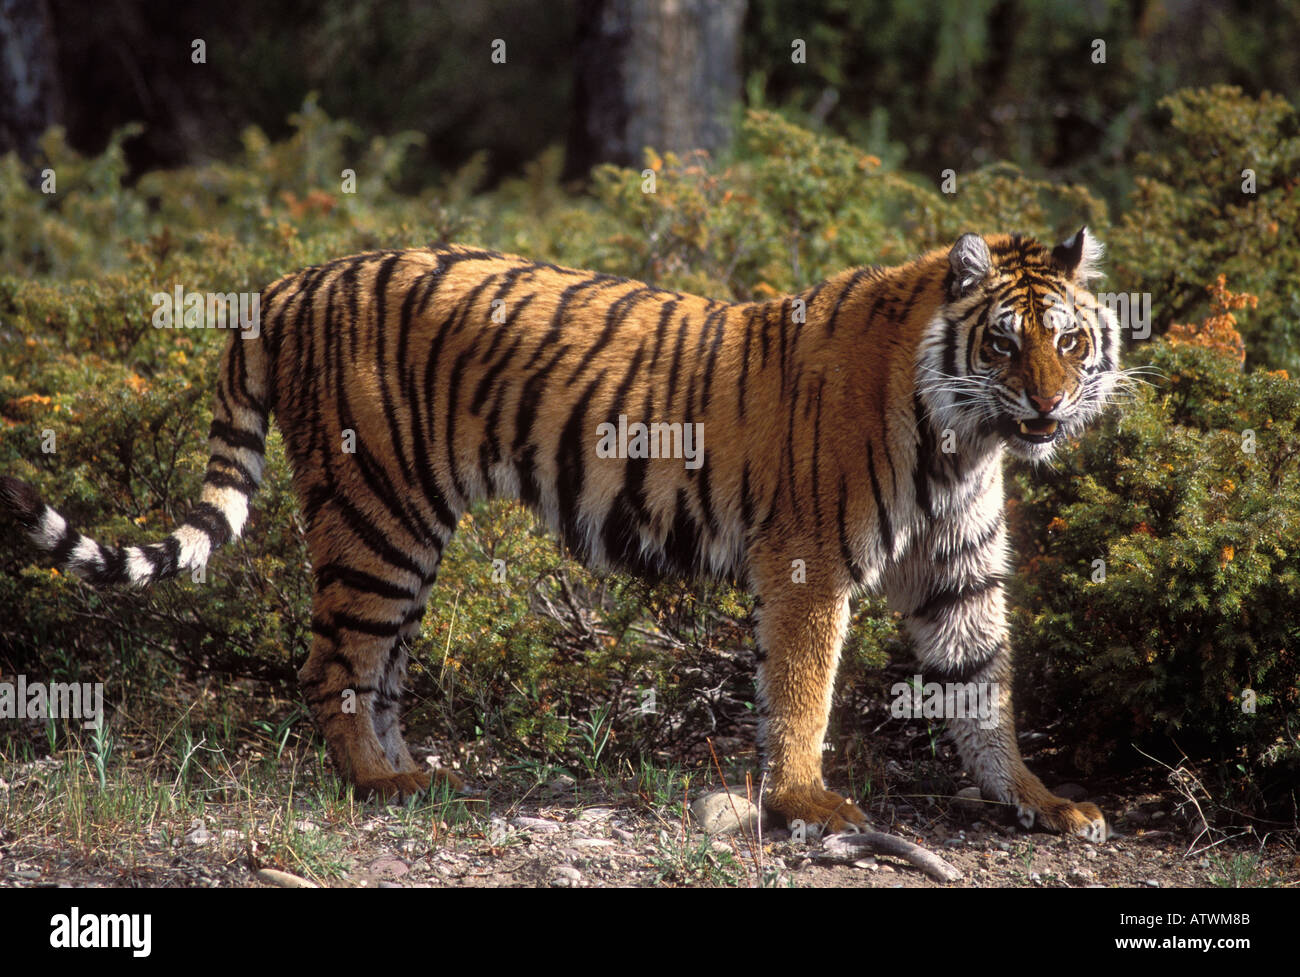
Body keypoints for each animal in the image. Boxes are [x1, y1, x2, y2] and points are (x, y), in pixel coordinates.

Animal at [2, 228, 1119, 841]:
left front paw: (1043, 800)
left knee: (381, 667)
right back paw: (376, 782)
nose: (1051, 408)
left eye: (1070, 341)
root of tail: (290, 281)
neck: (962, 439)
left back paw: (417, 776)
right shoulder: (807, 562)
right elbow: (803, 690)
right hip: (376, 510)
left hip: (408, 525)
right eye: (1004, 344)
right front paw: (810, 802)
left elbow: (984, 693)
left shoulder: (959, 574)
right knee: (333, 664)